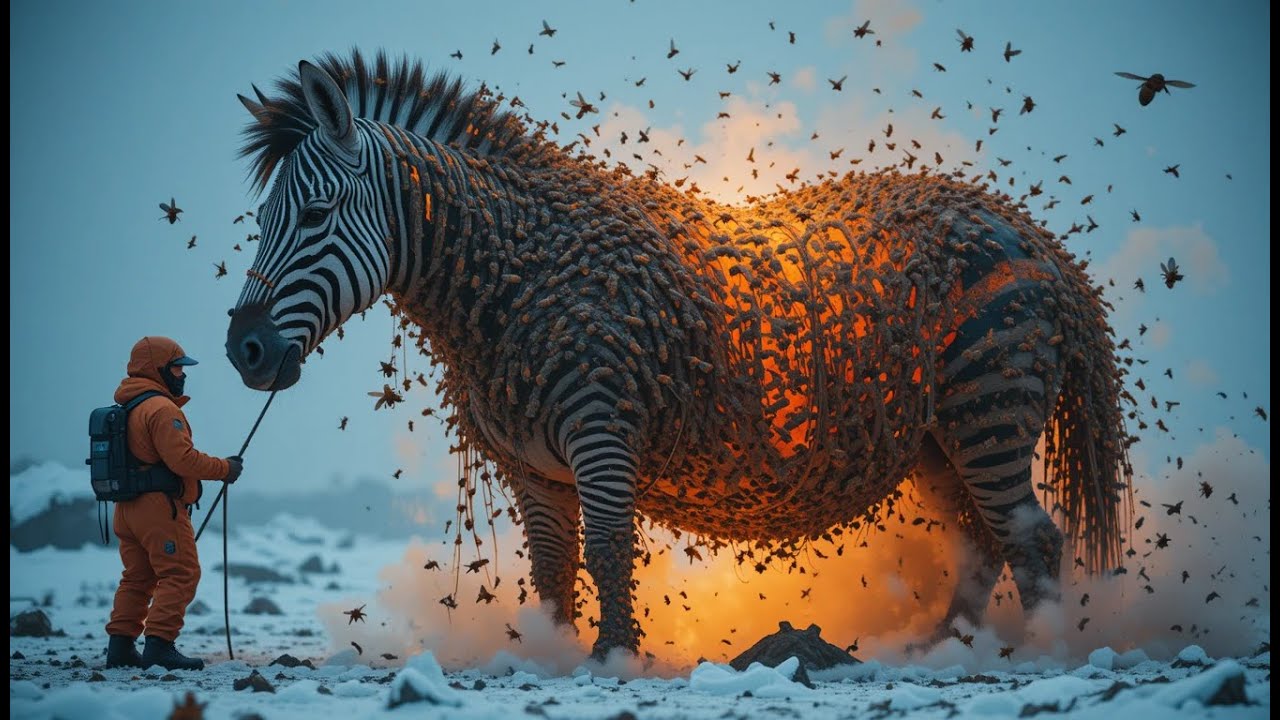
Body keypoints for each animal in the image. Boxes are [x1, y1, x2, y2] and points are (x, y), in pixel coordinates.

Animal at [226, 52, 1132, 659]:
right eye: (263, 220)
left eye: (314, 215)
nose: (244, 350)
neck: (510, 277)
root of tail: (1035, 237)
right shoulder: (533, 466)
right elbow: (551, 566)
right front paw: (554, 659)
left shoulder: (601, 431)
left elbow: (605, 549)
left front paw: (615, 660)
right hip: (940, 437)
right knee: (983, 543)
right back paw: (939, 652)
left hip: (989, 402)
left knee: (1033, 540)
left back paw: (1038, 652)